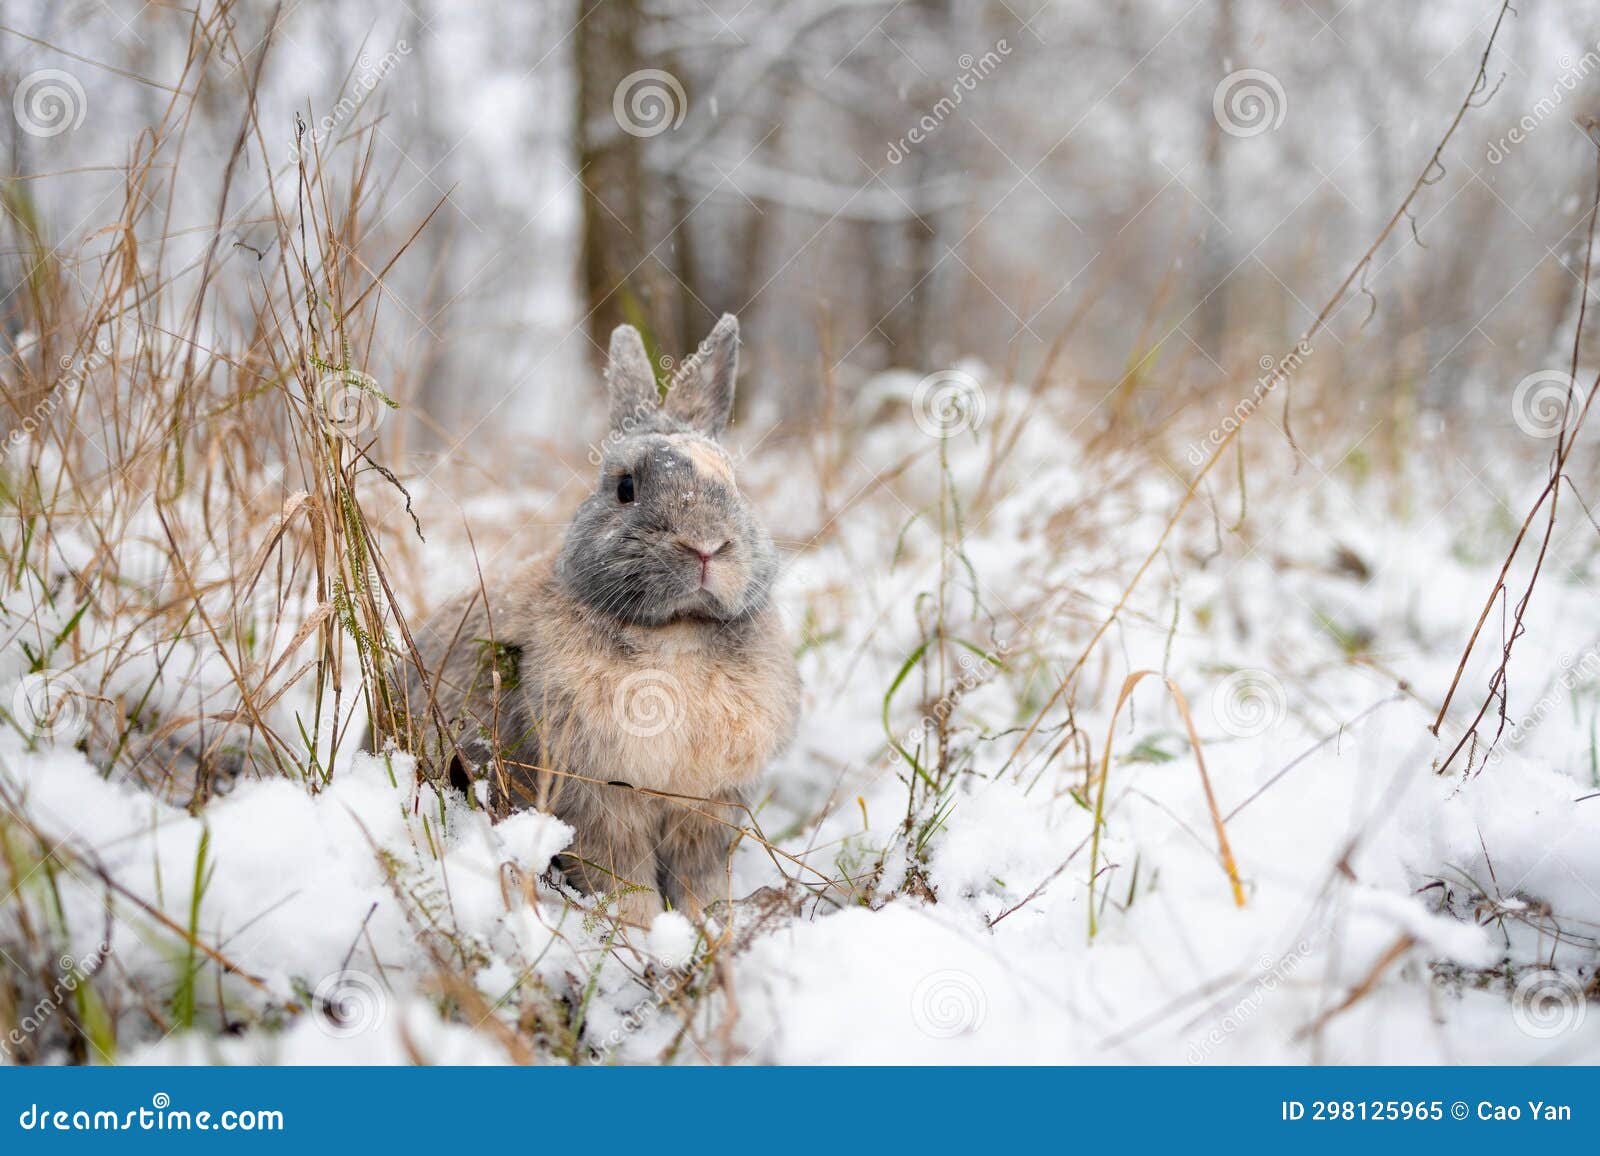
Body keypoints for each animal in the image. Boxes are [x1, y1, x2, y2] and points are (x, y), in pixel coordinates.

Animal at [398, 314, 798, 925]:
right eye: (625, 488)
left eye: (734, 485)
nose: (706, 544)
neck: (676, 634)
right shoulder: (597, 803)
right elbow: (623, 877)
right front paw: (644, 929)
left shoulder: (707, 809)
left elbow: (699, 878)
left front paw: (709, 925)